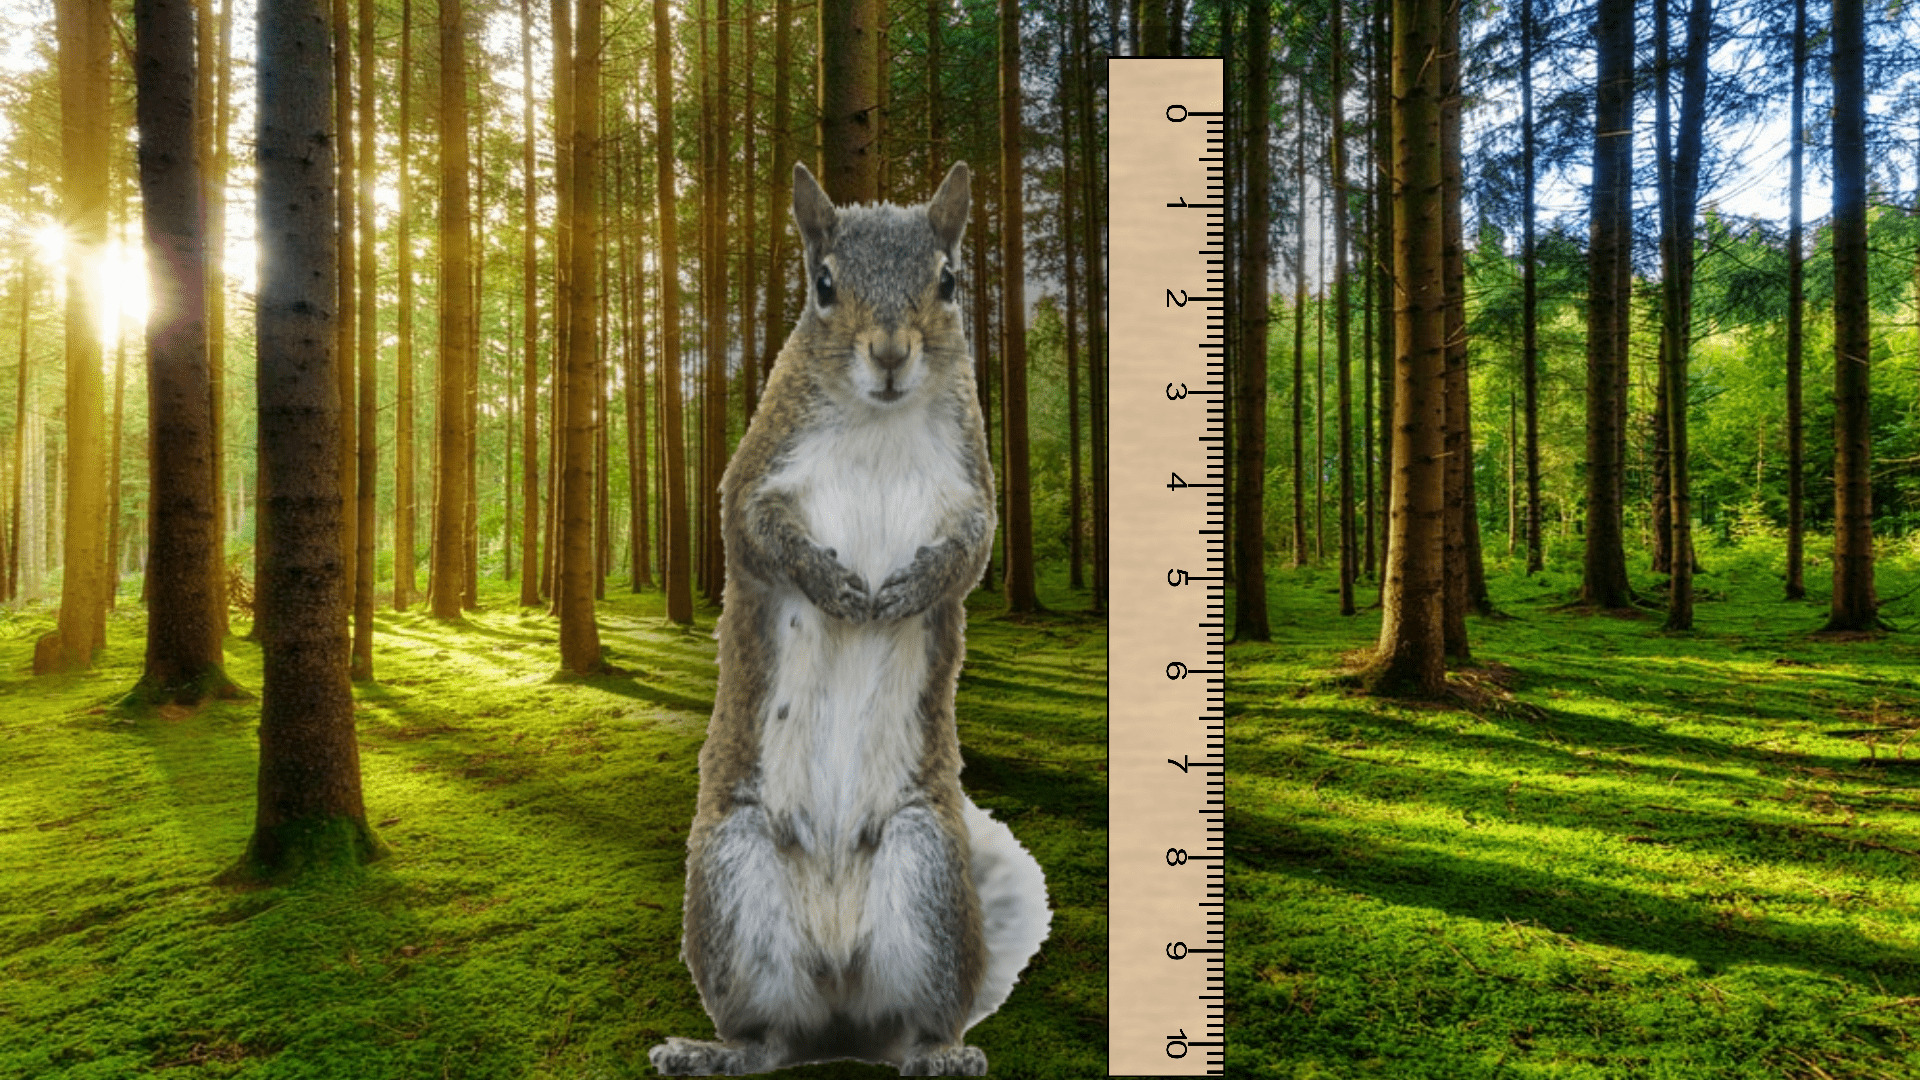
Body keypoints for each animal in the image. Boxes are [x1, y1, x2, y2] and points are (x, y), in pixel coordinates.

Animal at [649, 162, 1051, 1077]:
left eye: (950, 281)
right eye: (823, 285)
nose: (892, 354)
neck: (878, 419)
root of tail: (839, 1011)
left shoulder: (974, 489)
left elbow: (969, 557)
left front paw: (904, 592)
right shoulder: (759, 468)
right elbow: (754, 534)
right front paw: (832, 587)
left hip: (926, 872)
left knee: (918, 1020)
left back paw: (941, 1054)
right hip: (734, 875)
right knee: (771, 1037)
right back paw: (717, 1053)